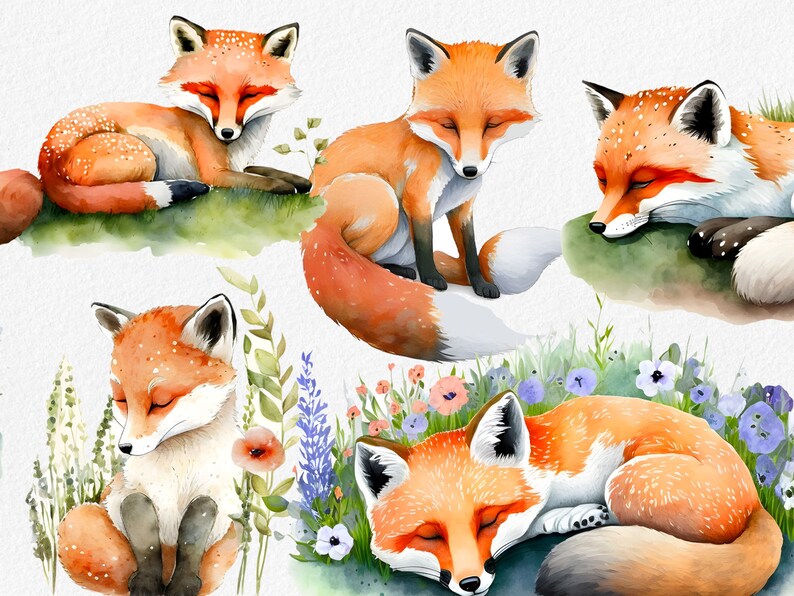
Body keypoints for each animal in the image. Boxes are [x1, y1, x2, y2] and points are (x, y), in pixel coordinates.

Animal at [0, 16, 310, 245]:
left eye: (251, 94)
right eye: (208, 93)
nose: (226, 133)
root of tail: (47, 157)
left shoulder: (239, 164)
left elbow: (265, 170)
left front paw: (299, 180)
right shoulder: (215, 172)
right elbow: (262, 181)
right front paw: (286, 186)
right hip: (145, 156)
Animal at [58, 295, 242, 596]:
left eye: (161, 402)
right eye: (121, 399)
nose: (125, 447)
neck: (178, 473)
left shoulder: (225, 506)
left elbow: (197, 524)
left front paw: (183, 584)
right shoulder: (119, 493)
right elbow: (141, 521)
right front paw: (146, 582)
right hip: (80, 518)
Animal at [301, 29, 560, 361]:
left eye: (492, 124)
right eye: (448, 125)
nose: (471, 170)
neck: (452, 175)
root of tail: (308, 232)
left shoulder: (462, 207)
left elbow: (470, 252)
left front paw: (480, 284)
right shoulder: (418, 198)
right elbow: (426, 243)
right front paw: (432, 280)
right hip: (382, 197)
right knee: (359, 256)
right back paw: (399, 272)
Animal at [355, 391, 782, 596]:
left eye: (489, 519)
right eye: (429, 536)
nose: (470, 583)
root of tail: (755, 502)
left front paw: (576, 516)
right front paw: (571, 517)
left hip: (625, 482)